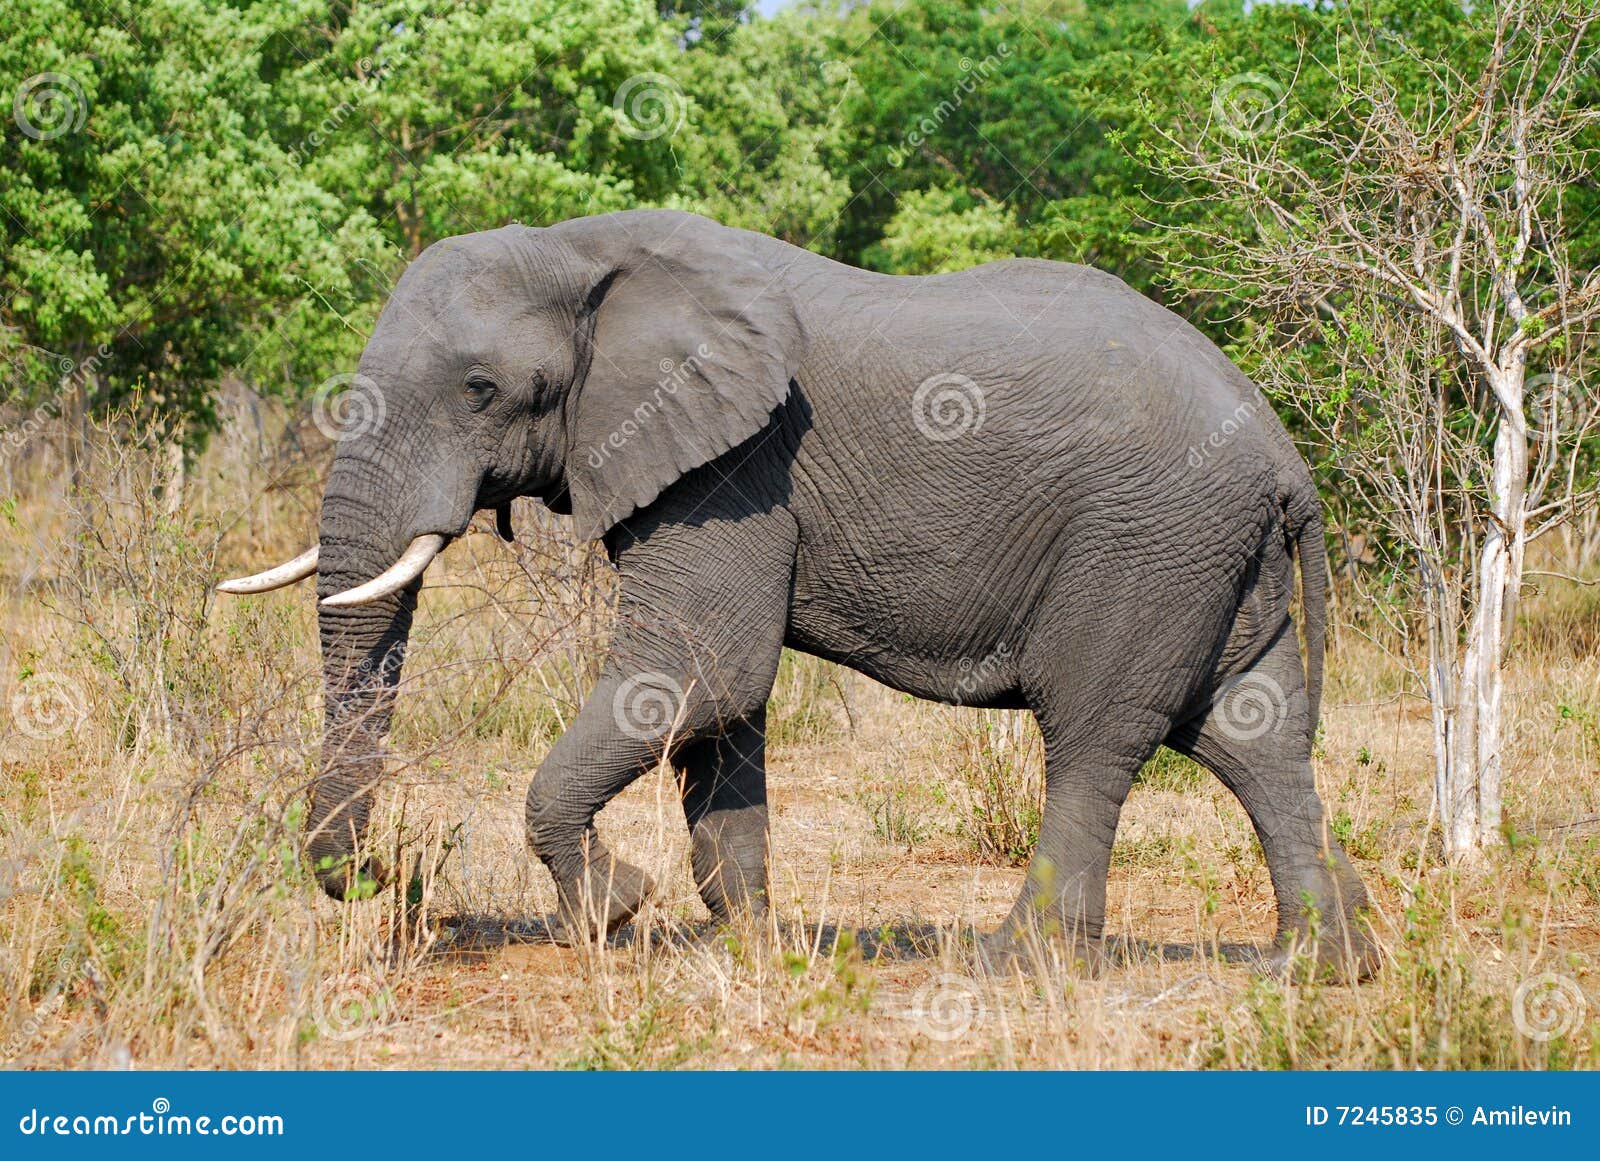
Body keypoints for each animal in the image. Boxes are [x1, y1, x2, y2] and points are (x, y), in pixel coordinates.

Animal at [219, 209, 1376, 979]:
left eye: (480, 390)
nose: (392, 879)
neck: (585, 248)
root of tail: (1286, 455)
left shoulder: (735, 465)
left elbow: (702, 671)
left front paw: (616, 913)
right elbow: (718, 709)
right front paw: (744, 946)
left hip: (1146, 541)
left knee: (1097, 734)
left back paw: (1018, 964)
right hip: (1213, 552)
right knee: (1253, 735)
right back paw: (1321, 966)